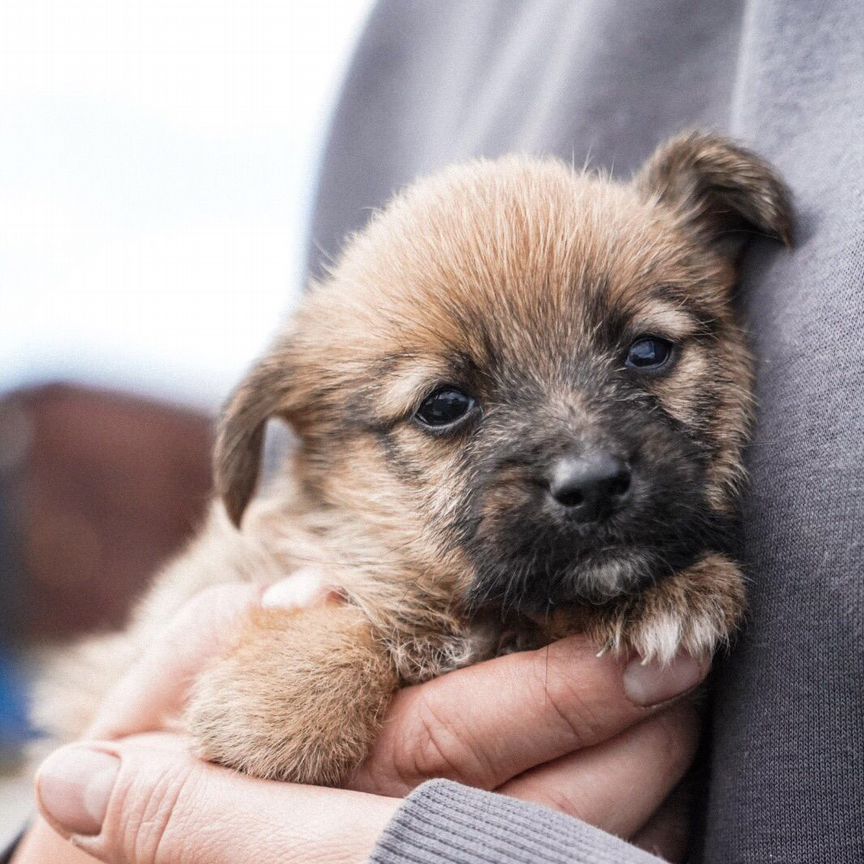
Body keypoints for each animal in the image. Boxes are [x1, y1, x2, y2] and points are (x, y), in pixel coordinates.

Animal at [33, 130, 792, 788]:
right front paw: (285, 698)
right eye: (444, 404)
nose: (595, 485)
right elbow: (355, 604)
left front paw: (672, 592)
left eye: (647, 352)